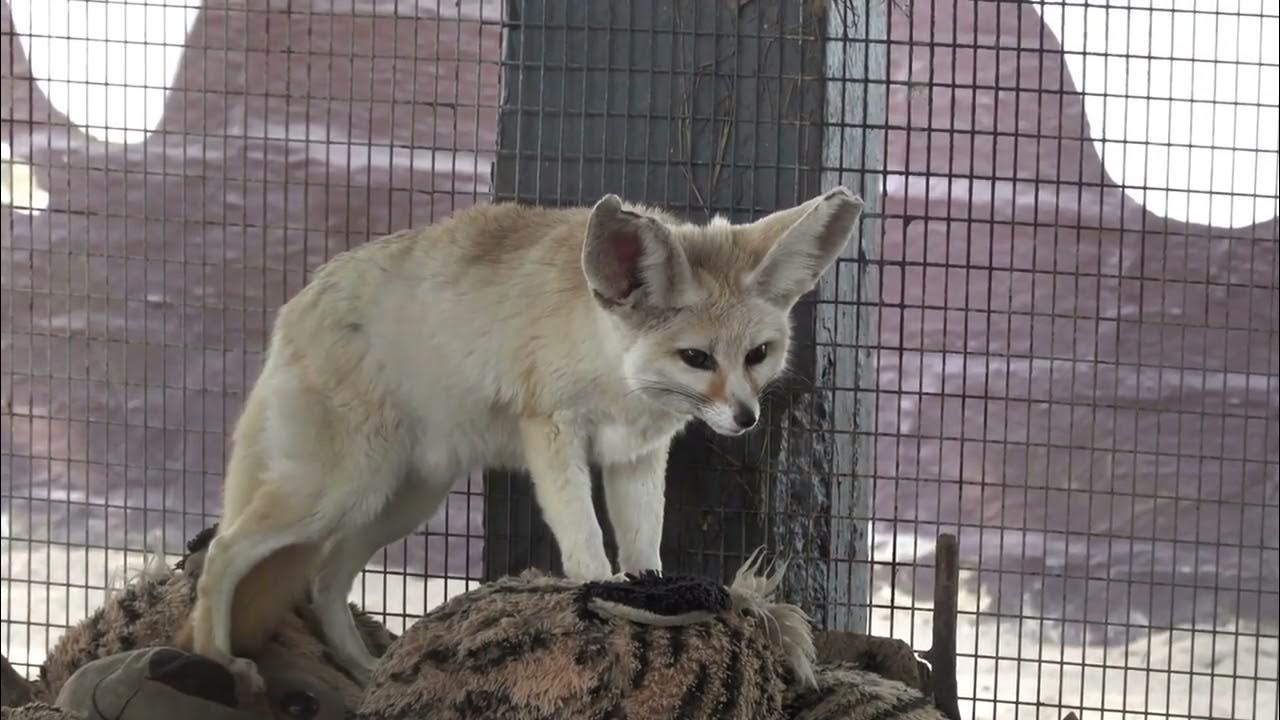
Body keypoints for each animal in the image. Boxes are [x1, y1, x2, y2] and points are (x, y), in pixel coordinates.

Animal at [183, 187, 863, 692]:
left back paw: (371, 672)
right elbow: (585, 543)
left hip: (398, 503)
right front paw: (601, 600)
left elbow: (644, 544)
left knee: (325, 583)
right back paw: (217, 659)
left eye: (757, 355)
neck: (610, 369)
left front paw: (652, 596)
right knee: (224, 551)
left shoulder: (638, 457)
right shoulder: (552, 434)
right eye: (696, 358)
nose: (745, 418)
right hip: (338, 493)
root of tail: (293, 306)